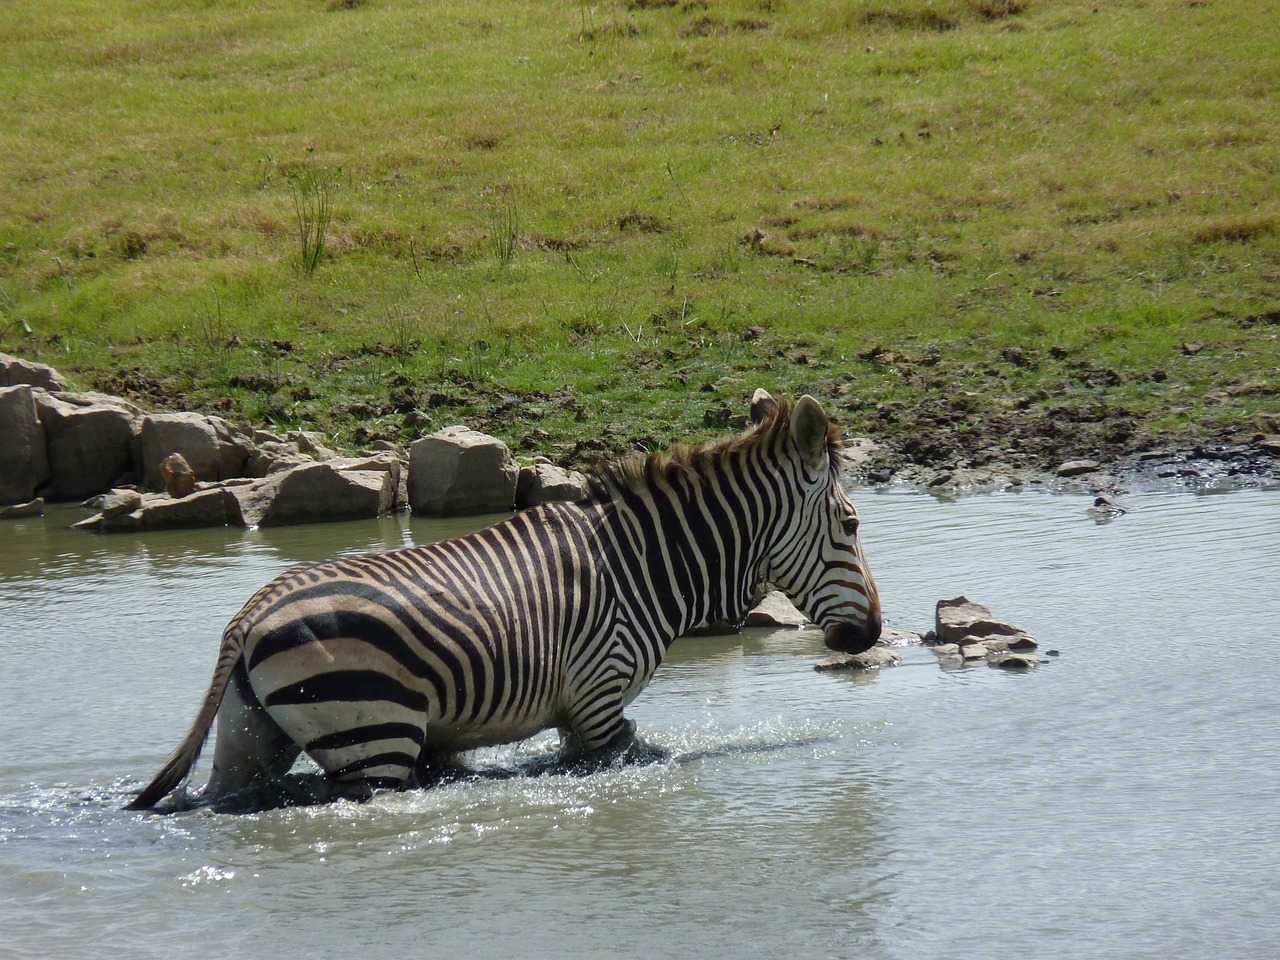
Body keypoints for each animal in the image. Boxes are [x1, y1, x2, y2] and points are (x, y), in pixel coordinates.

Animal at [126, 389, 880, 809]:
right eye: (851, 525)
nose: (870, 633)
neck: (642, 564)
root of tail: (248, 616)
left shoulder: (581, 715)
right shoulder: (599, 700)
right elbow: (640, 757)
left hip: (250, 736)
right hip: (373, 738)